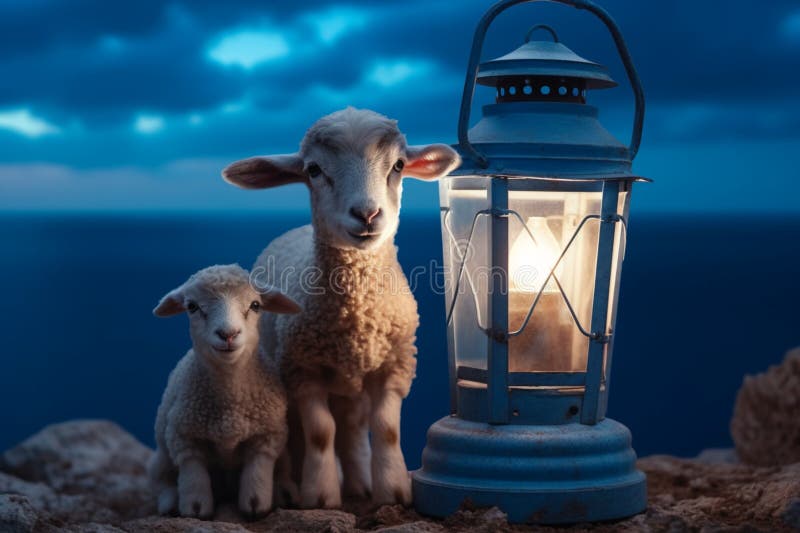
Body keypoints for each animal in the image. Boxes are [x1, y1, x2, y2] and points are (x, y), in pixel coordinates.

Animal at [148, 264, 301, 519]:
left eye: (255, 305)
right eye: (192, 306)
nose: (228, 334)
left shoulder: (268, 436)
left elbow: (257, 473)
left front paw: (255, 507)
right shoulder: (183, 437)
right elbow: (193, 477)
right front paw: (196, 509)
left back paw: (285, 492)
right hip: (161, 456)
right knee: (163, 480)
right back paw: (169, 501)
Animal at [222, 107, 460, 508]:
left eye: (398, 165)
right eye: (314, 170)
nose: (367, 214)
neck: (357, 318)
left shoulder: (395, 366)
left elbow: (386, 428)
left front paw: (392, 491)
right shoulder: (302, 370)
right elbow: (320, 432)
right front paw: (319, 495)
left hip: (352, 389)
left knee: (352, 428)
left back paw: (360, 483)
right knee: (296, 435)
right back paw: (288, 488)